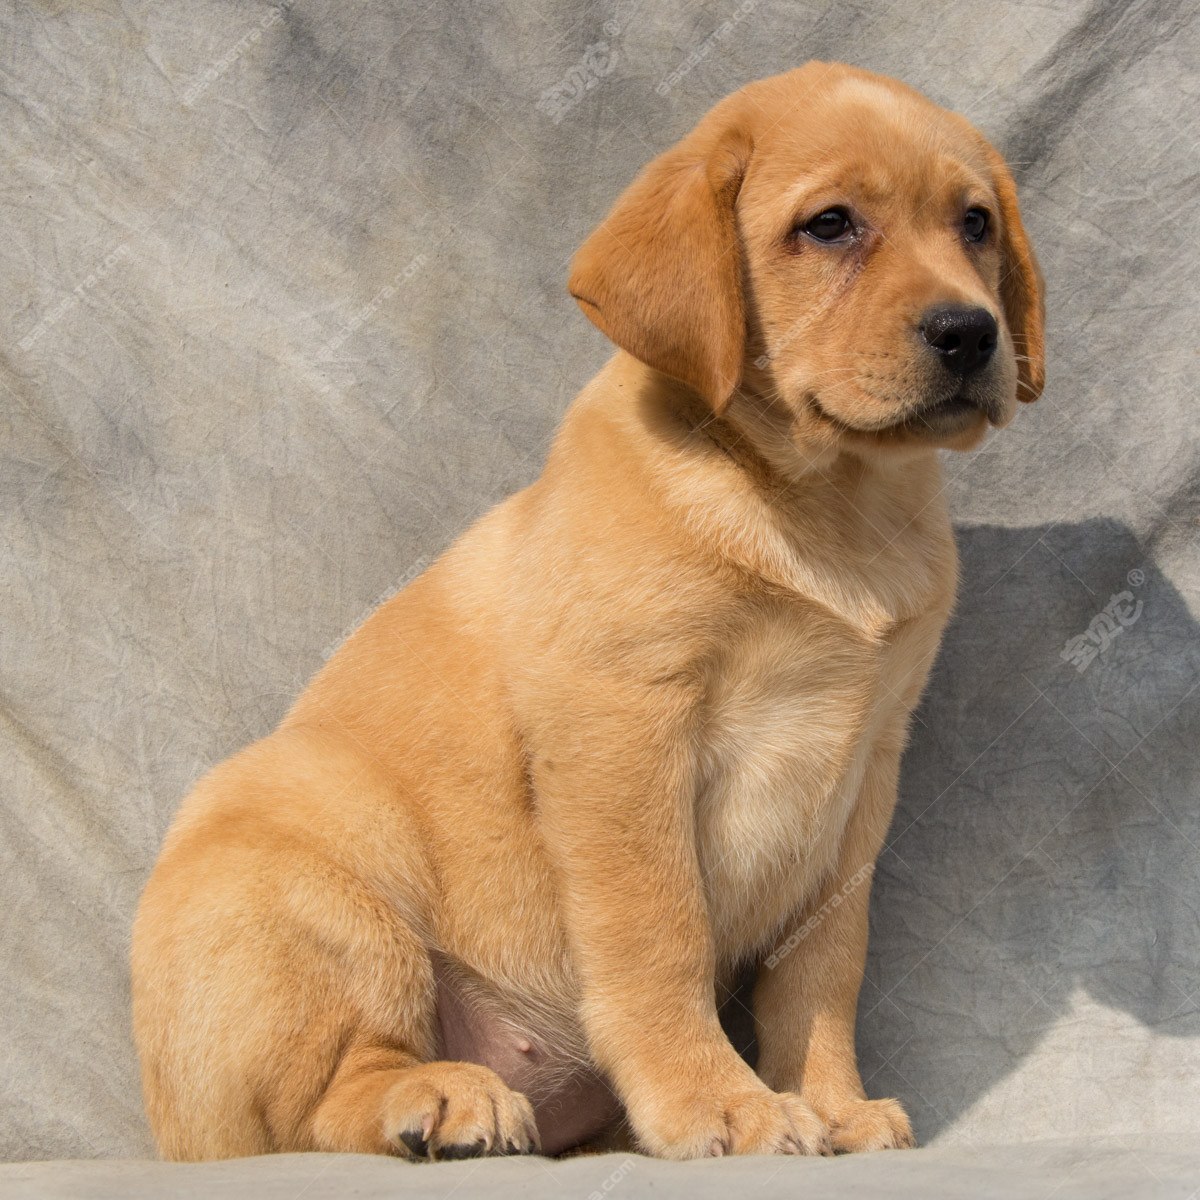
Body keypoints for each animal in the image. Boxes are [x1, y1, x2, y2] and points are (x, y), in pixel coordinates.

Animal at [131, 63, 1041, 1161]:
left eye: (975, 223)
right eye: (830, 225)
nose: (970, 331)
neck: (831, 503)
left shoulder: (868, 763)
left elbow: (823, 967)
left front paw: (830, 1103)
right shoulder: (624, 726)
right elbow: (662, 938)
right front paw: (719, 1103)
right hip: (313, 894)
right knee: (317, 1109)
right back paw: (438, 1100)